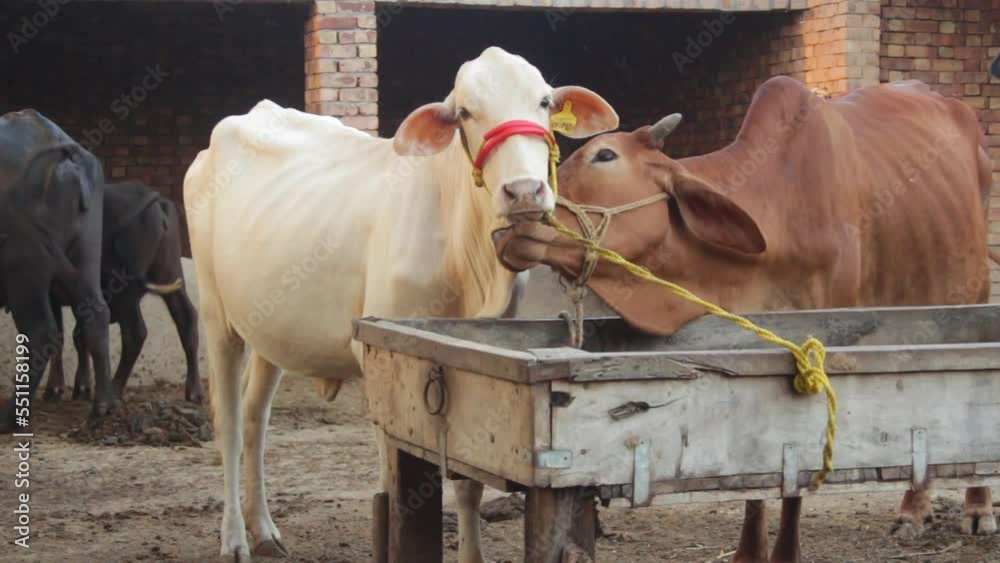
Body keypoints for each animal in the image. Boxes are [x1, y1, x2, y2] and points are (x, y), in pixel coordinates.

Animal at [0, 109, 115, 431]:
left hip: (24, 270)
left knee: (41, 332)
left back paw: (12, 415)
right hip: (85, 253)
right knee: (95, 315)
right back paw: (101, 405)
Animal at [43, 181, 202, 405]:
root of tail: (155, 200)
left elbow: (58, 337)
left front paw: (55, 389)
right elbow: (79, 335)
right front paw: (82, 388)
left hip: (124, 290)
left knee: (135, 332)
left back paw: (115, 391)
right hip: (169, 272)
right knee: (186, 317)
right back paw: (194, 391)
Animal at [184, 46, 618, 561]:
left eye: (545, 102)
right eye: (465, 112)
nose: (524, 192)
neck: (466, 260)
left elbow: (468, 481)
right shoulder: (383, 358)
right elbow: (395, 485)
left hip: (269, 327)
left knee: (255, 419)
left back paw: (264, 529)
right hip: (218, 317)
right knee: (229, 423)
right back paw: (234, 538)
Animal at [493, 76, 996, 562]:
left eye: (605, 155)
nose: (517, 210)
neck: (778, 209)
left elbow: (793, 478)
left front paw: (787, 551)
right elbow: (758, 484)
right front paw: (749, 552)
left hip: (975, 290)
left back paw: (972, 507)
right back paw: (916, 511)